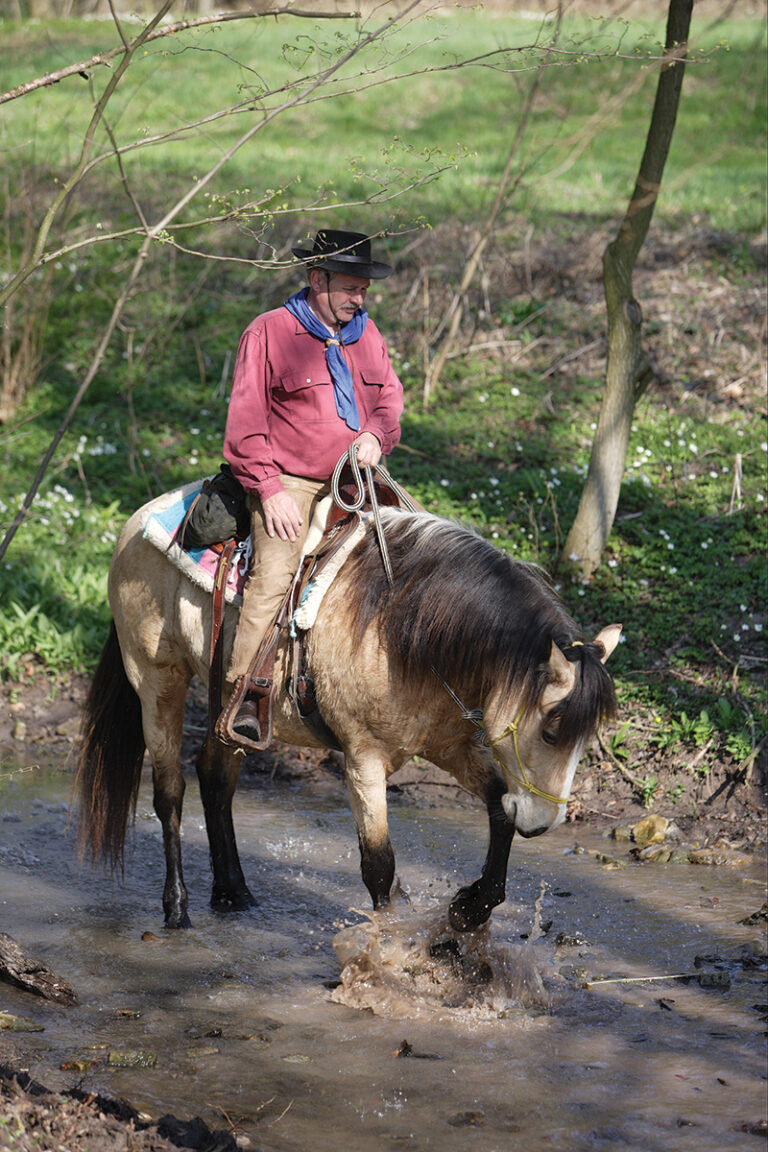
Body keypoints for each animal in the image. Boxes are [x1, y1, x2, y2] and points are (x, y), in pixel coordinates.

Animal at [75, 494, 621, 932]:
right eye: (551, 729)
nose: (543, 824)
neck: (402, 627)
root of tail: (137, 520)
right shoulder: (363, 759)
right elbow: (378, 864)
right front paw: (387, 955)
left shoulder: (451, 748)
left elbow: (498, 813)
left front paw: (469, 909)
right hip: (157, 681)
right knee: (170, 793)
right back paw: (177, 907)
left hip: (224, 700)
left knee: (214, 778)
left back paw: (234, 892)